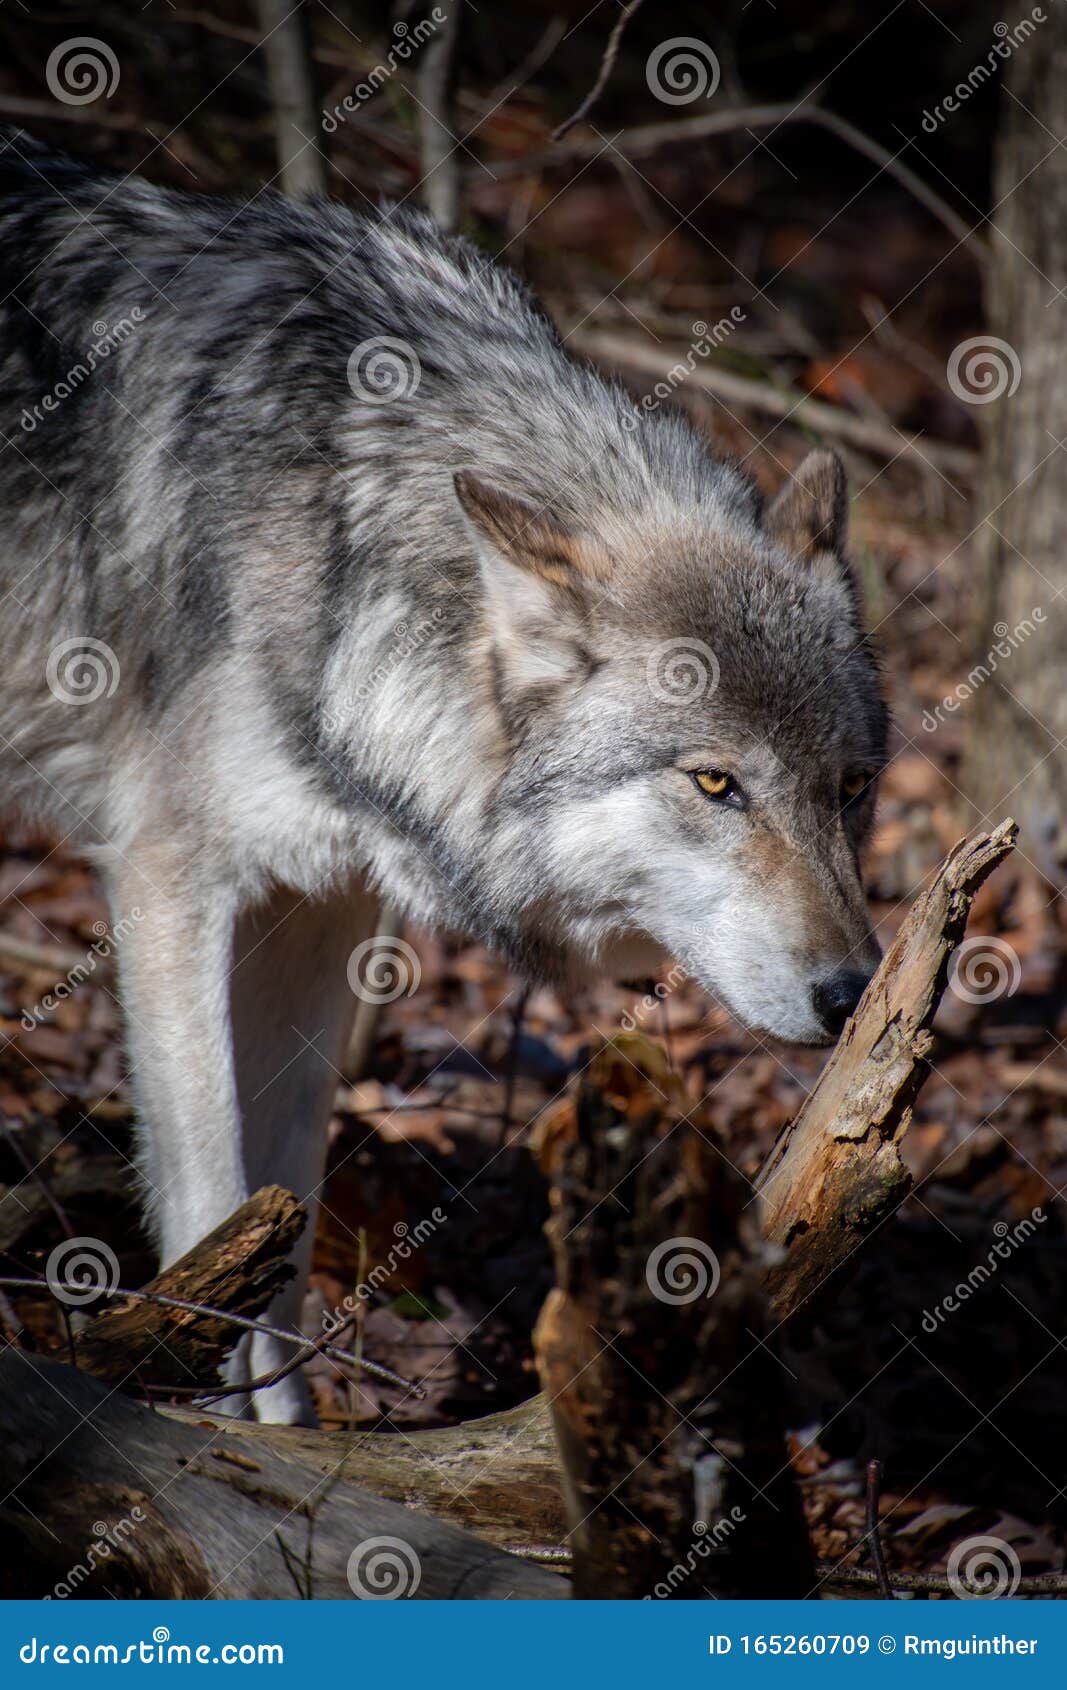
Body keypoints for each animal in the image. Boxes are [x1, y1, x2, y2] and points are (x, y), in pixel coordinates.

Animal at [0, 129, 886, 1423]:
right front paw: (208, 1430)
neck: (337, 524)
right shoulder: (168, 882)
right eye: (717, 785)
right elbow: (213, 1201)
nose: (850, 992)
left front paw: (286, 1428)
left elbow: (281, 1217)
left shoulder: (314, 905)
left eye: (850, 790)